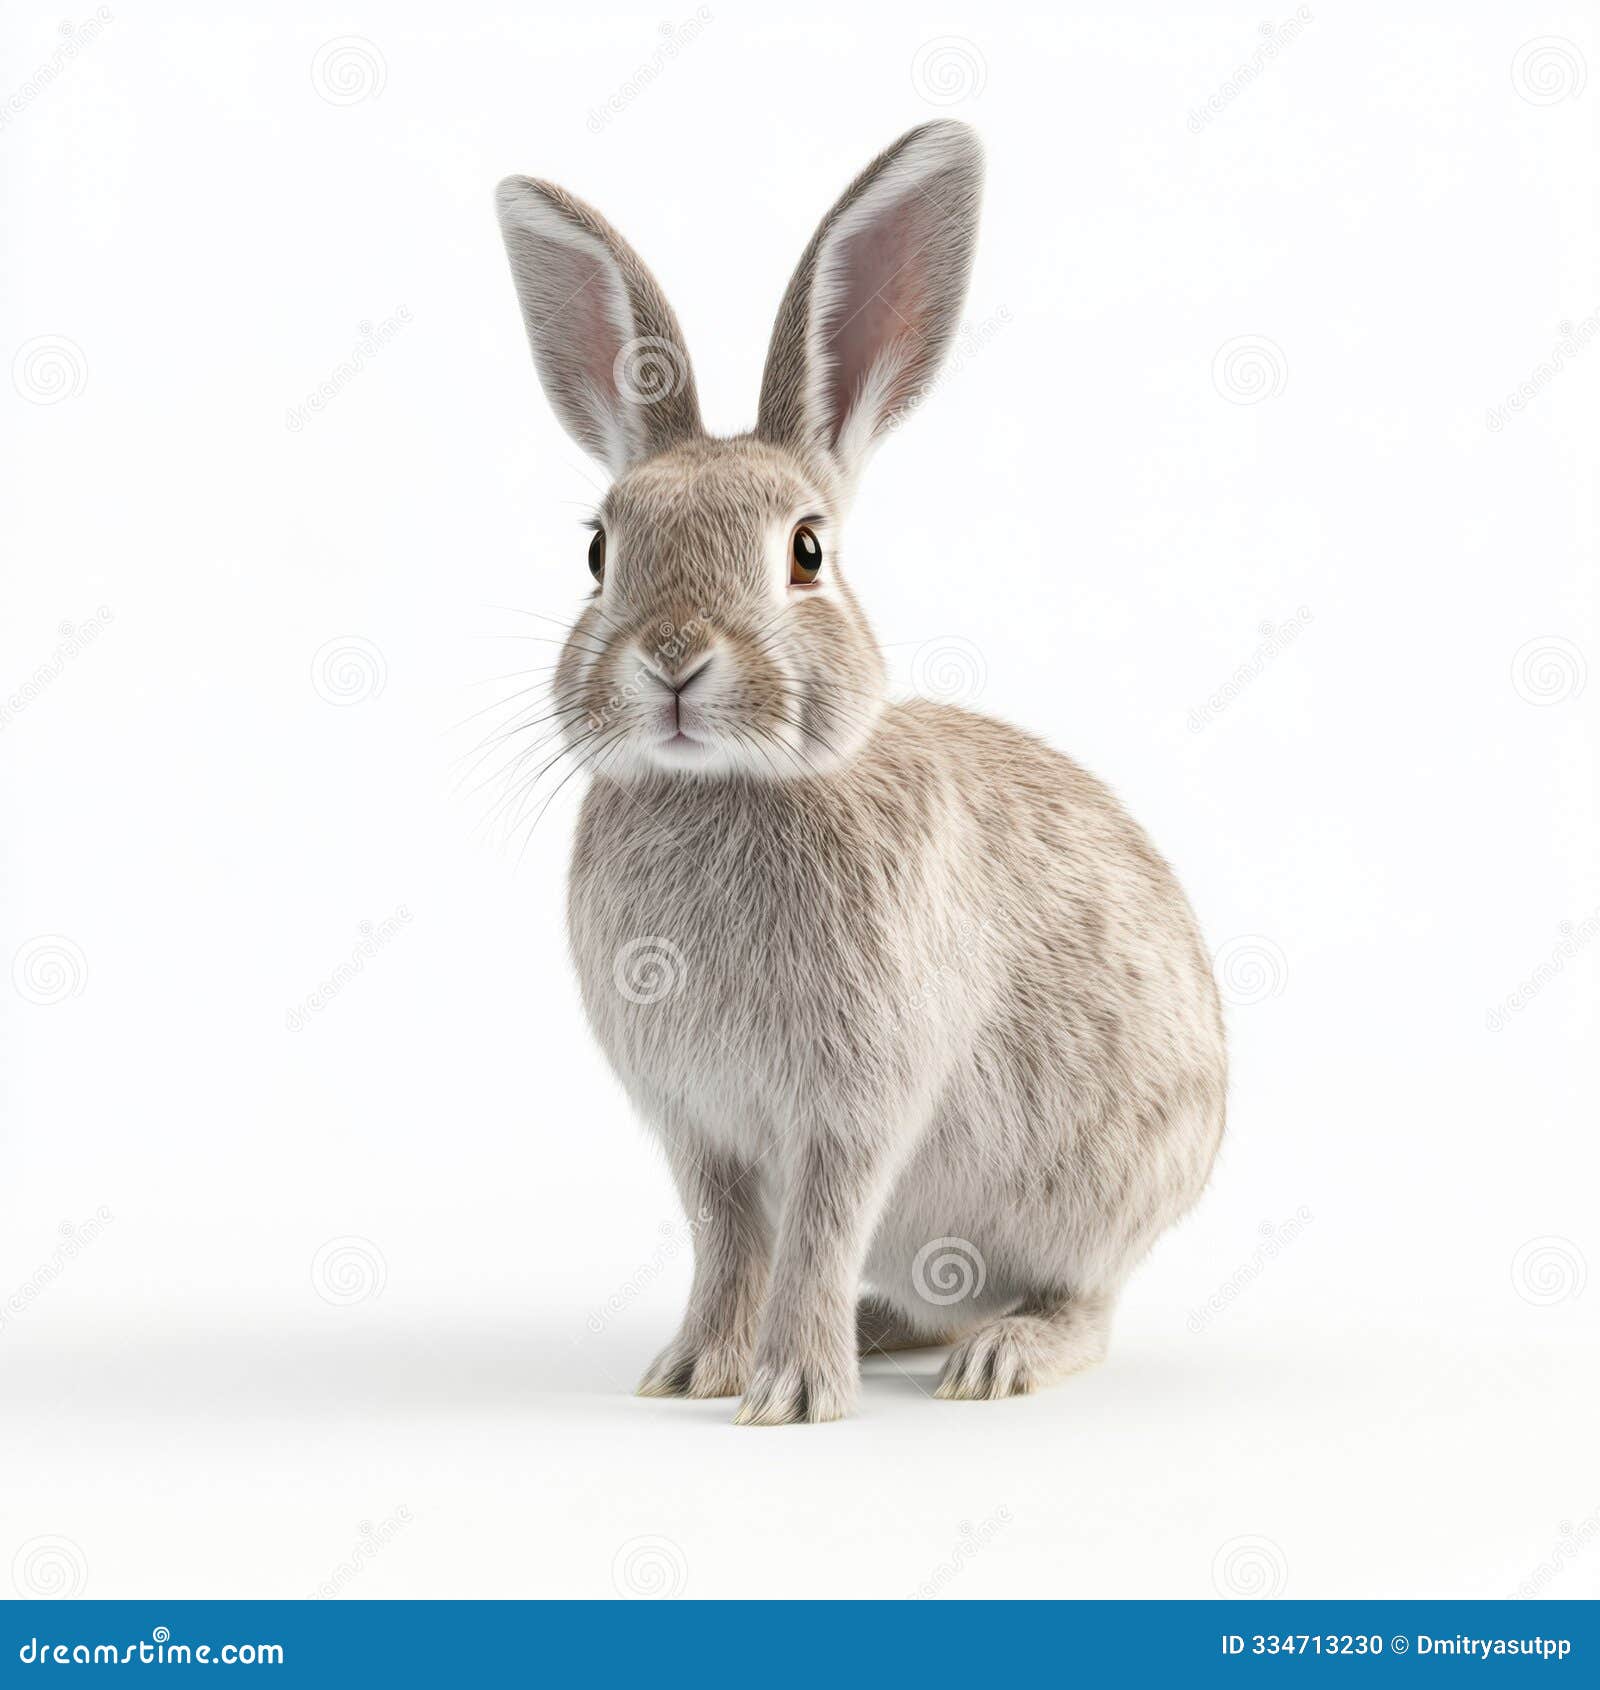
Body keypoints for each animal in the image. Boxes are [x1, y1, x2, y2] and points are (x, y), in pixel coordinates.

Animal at [494, 120, 1226, 1425]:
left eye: (805, 550)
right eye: (597, 551)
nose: (672, 658)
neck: (723, 785)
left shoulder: (852, 1107)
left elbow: (819, 1226)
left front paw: (789, 1392)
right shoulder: (704, 1129)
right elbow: (727, 1240)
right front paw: (693, 1370)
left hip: (1095, 1191)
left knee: (1080, 1304)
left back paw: (994, 1357)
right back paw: (885, 1327)